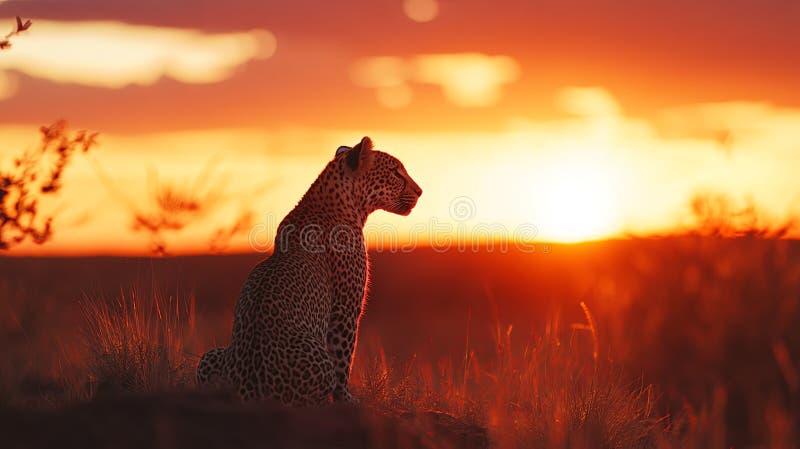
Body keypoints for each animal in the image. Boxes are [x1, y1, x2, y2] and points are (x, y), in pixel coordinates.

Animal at [197, 136, 422, 405]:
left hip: (210, 355)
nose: (420, 191)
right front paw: (346, 398)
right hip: (316, 362)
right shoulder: (344, 310)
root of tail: (246, 389)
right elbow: (344, 357)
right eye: (396, 172)